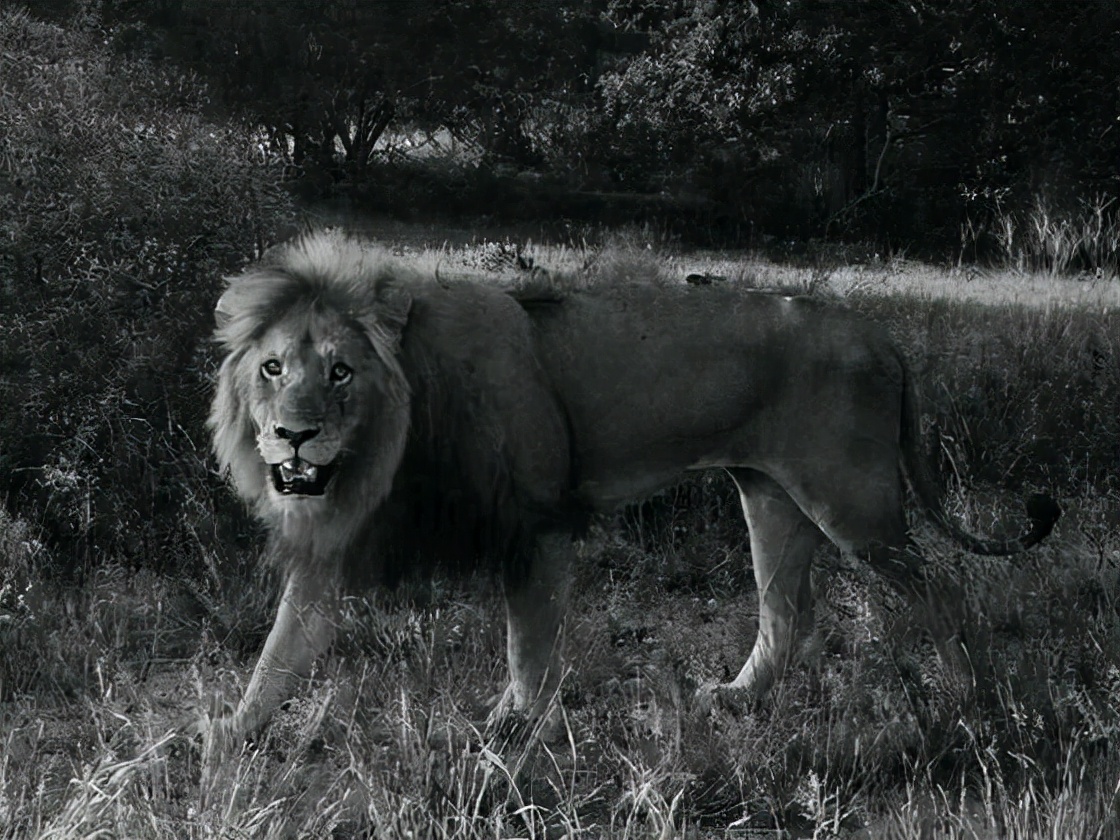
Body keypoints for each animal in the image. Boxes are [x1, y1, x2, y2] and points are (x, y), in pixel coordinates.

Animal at [207, 232, 1060, 743]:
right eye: (273, 367)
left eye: (340, 372)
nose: (292, 435)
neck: (392, 434)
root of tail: (879, 332)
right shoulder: (333, 540)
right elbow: (281, 650)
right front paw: (225, 741)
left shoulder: (541, 523)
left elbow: (529, 645)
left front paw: (514, 732)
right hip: (768, 495)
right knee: (789, 613)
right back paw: (733, 700)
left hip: (853, 502)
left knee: (943, 589)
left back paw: (973, 705)